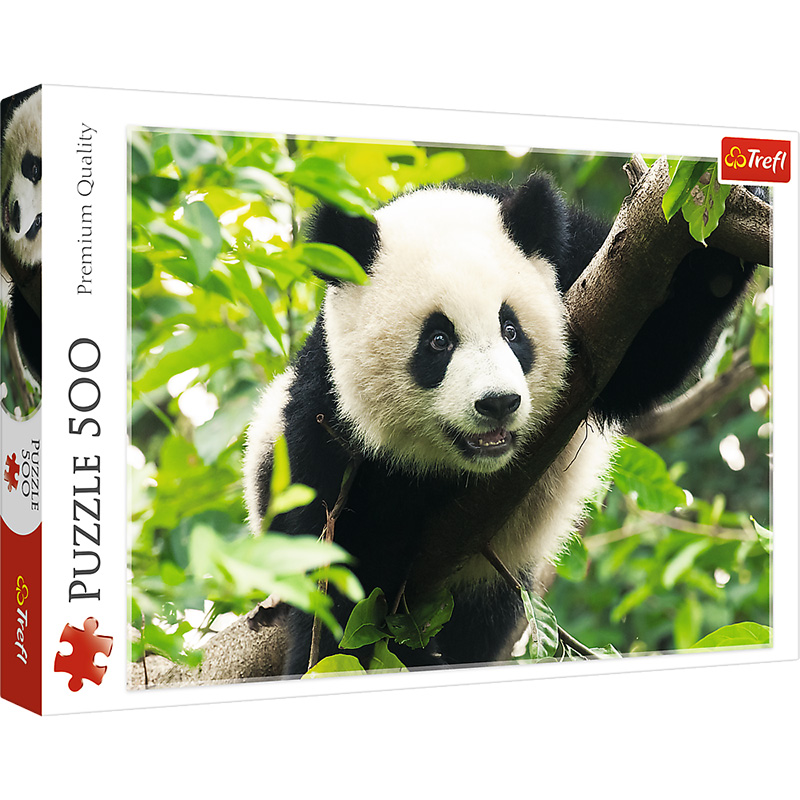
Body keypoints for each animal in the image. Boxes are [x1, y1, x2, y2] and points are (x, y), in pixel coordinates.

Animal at [243, 172, 756, 675]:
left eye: (511, 330)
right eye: (438, 340)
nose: (498, 403)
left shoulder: (583, 267)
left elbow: (650, 353)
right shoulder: (327, 420)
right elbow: (339, 567)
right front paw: (329, 652)